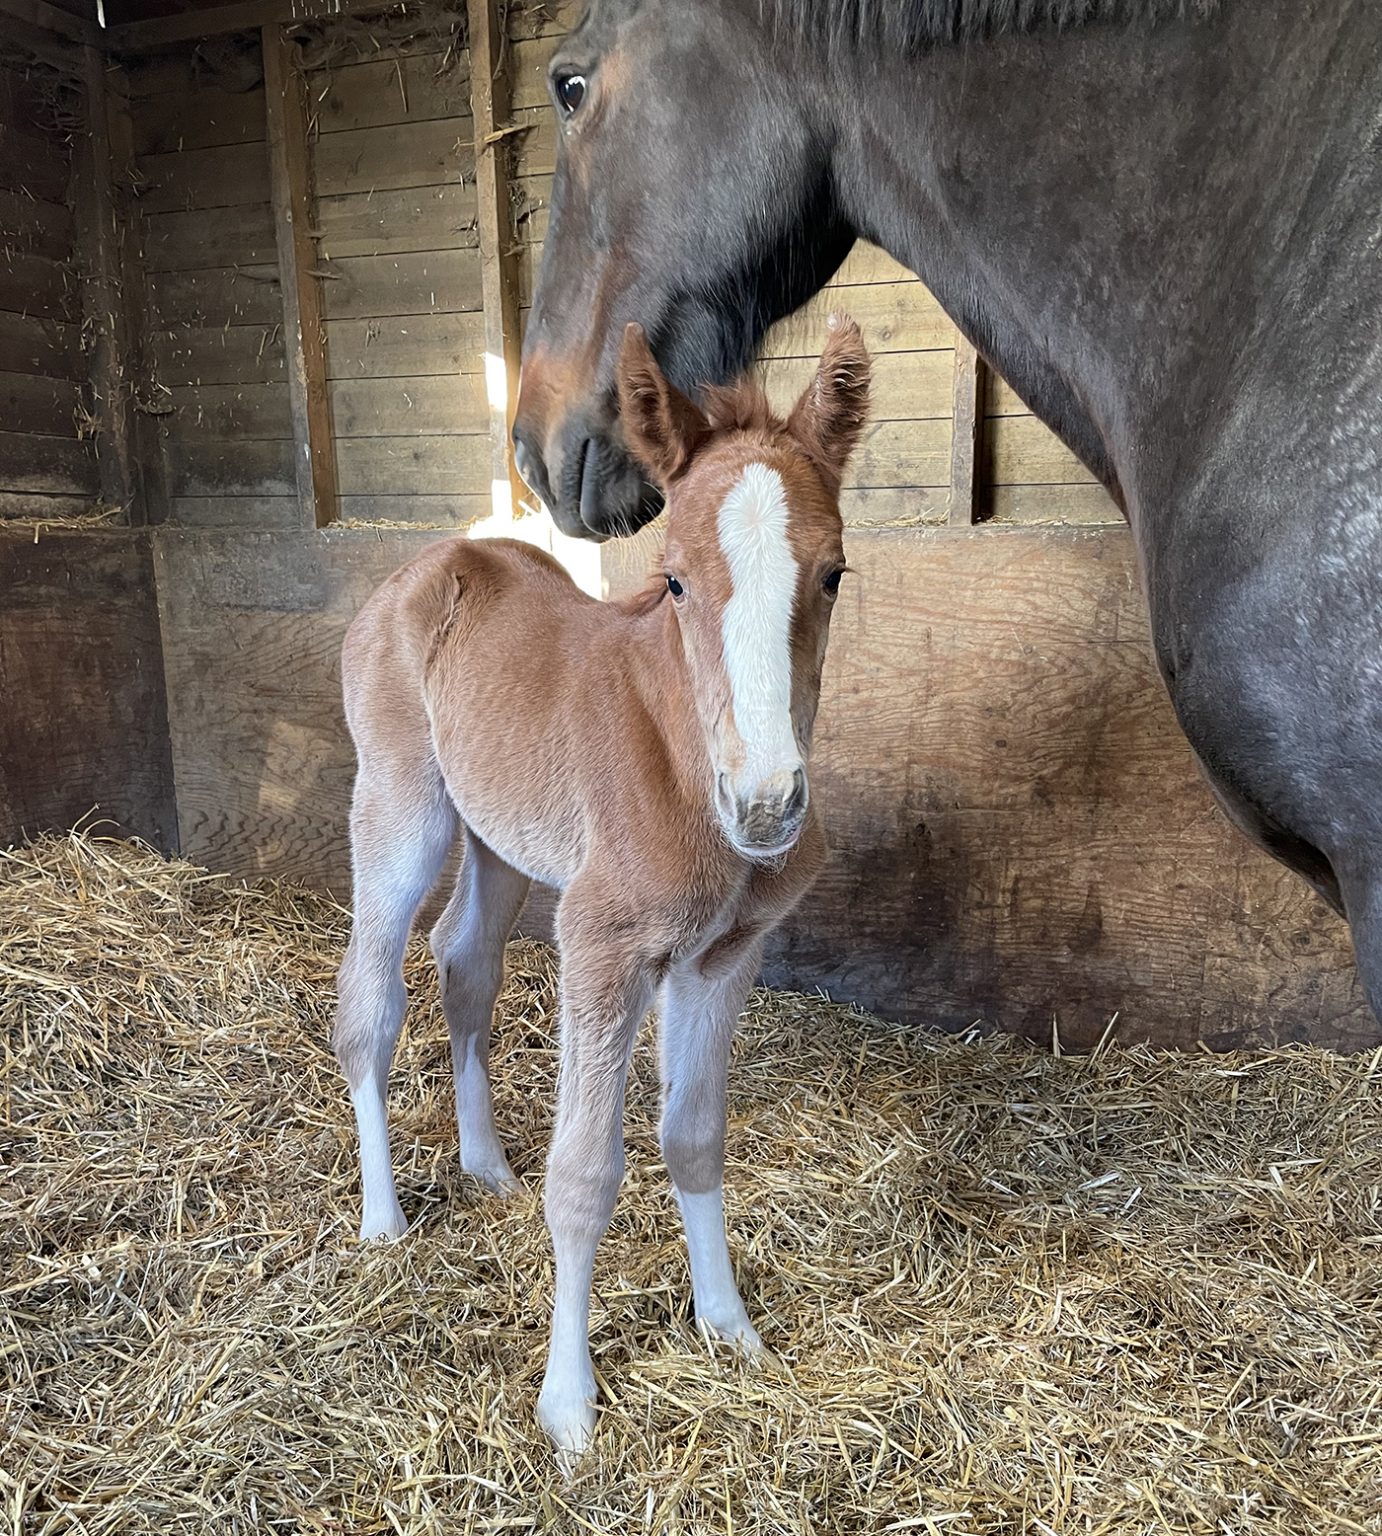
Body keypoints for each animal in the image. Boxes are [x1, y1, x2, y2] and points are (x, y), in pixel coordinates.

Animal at [333, 318, 871, 1452]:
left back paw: (485, 1165)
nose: (766, 804)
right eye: (672, 580)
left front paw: (730, 1330)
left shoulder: (720, 958)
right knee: (371, 998)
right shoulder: (604, 946)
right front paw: (568, 1404)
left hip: (500, 839)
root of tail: (437, 558)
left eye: (834, 574)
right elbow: (584, 1173)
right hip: (402, 804)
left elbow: (694, 1136)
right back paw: (384, 1219)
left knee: (464, 962)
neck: (679, 756)